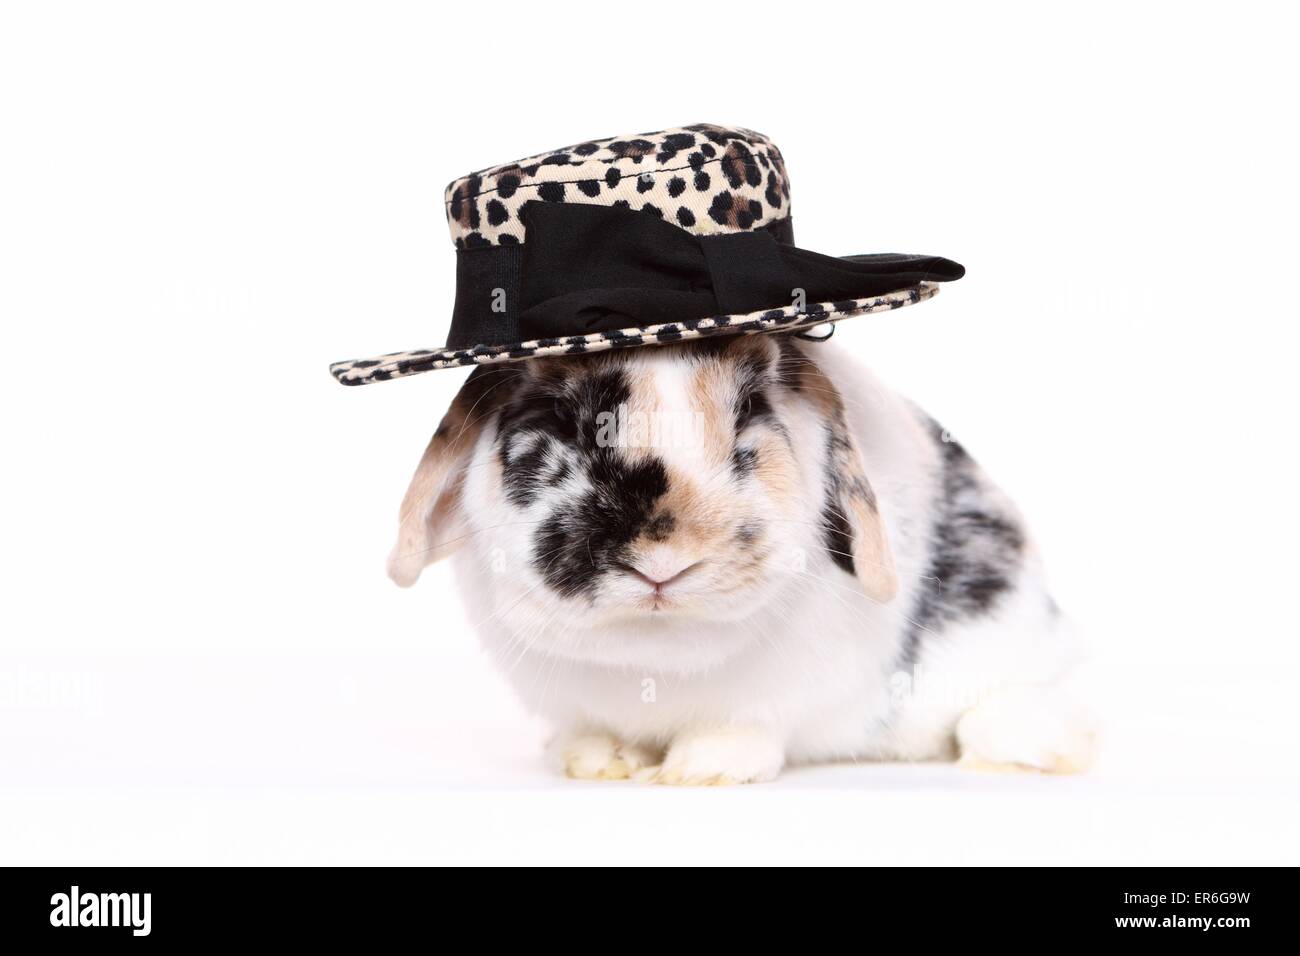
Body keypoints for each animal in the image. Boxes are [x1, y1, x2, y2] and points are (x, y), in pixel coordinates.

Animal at [388, 333, 1094, 784]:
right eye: (562, 419)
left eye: (751, 410)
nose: (663, 559)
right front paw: (595, 762)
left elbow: (740, 731)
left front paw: (701, 771)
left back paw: (1025, 747)